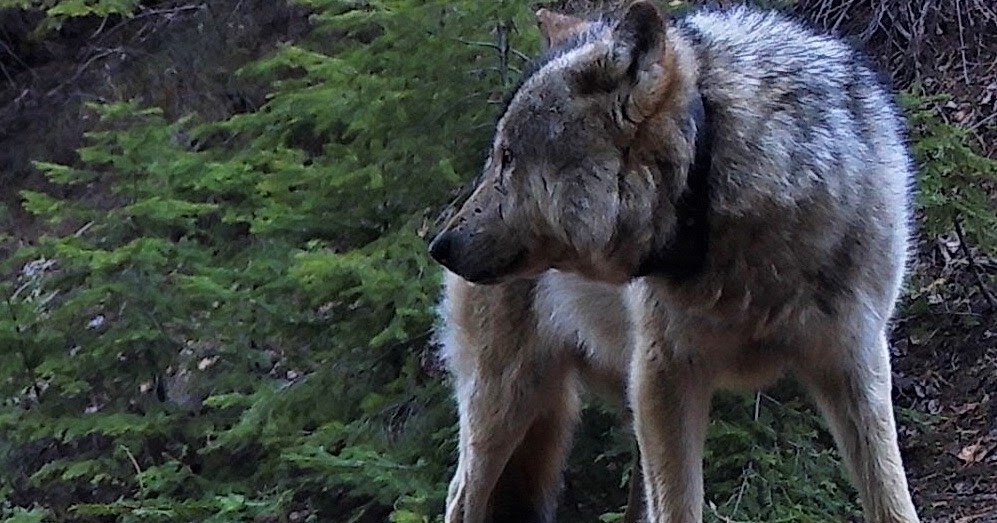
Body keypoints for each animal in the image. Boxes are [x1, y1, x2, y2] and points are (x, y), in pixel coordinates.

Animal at [430, 2, 921, 523]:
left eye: (508, 157)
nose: (440, 246)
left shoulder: (855, 359)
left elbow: (892, 500)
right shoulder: (665, 376)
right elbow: (678, 506)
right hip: (507, 402)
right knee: (460, 495)